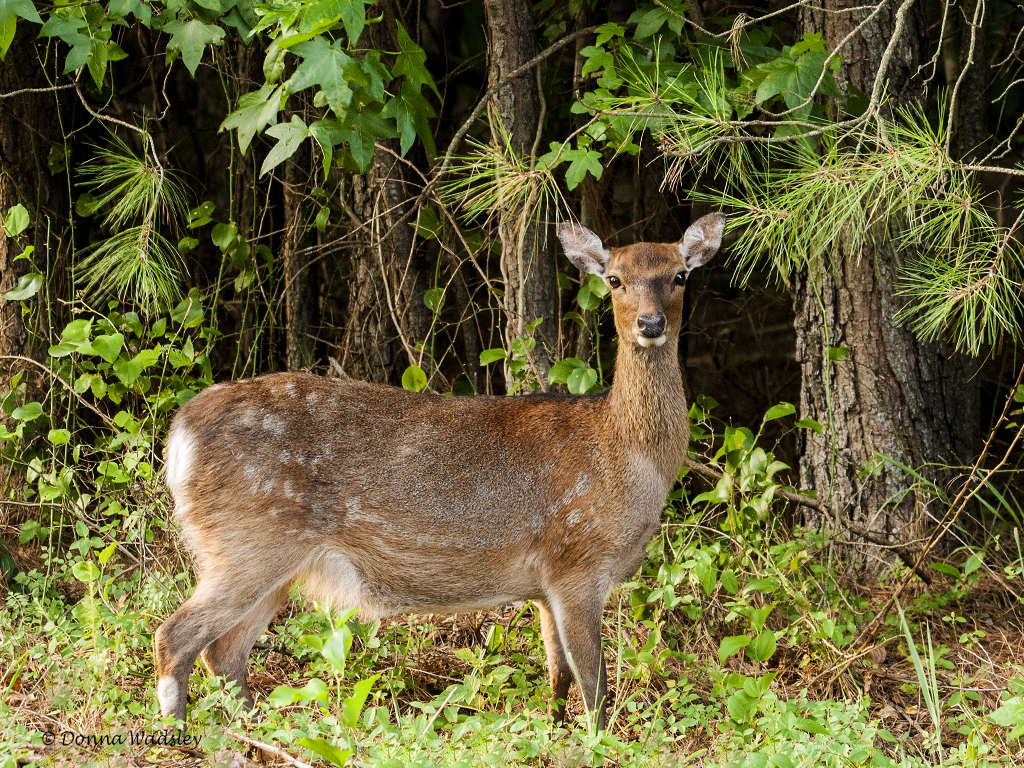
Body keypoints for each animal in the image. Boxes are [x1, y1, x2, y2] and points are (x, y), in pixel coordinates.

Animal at [155, 212, 726, 730]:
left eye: (679, 275)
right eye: (615, 279)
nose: (650, 325)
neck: (624, 456)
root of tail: (179, 437)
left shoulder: (545, 584)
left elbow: (558, 675)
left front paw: (552, 729)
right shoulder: (577, 561)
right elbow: (594, 682)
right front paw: (597, 742)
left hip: (271, 559)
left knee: (223, 652)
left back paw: (257, 727)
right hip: (246, 539)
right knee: (175, 636)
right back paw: (177, 731)